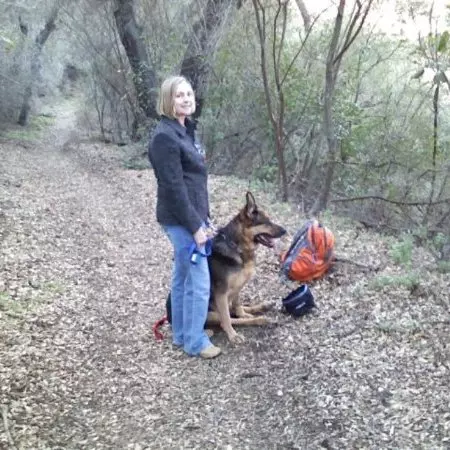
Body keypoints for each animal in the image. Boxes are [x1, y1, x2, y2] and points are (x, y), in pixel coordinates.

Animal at [167, 192, 286, 342]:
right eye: (266, 222)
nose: (285, 231)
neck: (237, 246)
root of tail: (169, 319)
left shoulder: (238, 286)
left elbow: (237, 305)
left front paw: (243, 313)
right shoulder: (221, 293)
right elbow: (228, 318)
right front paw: (233, 335)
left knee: (233, 311)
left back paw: (263, 307)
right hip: (212, 312)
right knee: (227, 320)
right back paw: (260, 320)